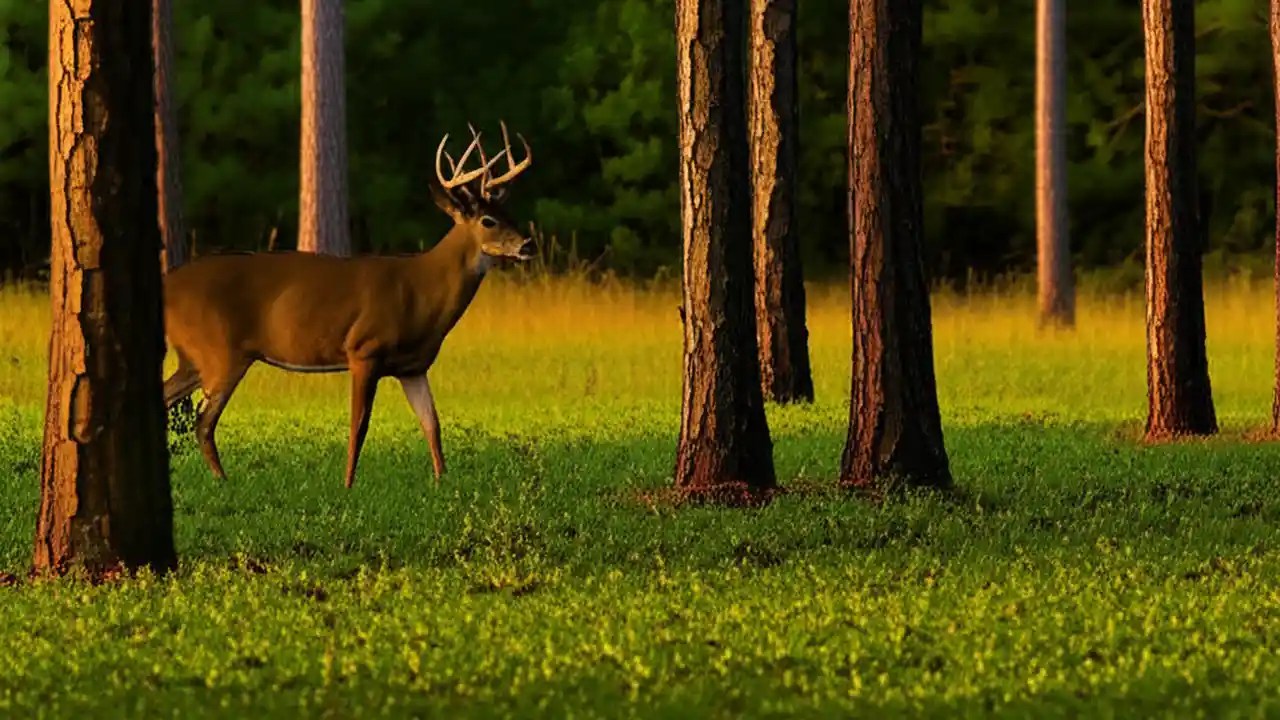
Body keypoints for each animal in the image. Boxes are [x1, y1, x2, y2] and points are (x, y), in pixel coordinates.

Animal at [161, 122, 535, 489]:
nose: (528, 245)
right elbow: (359, 425)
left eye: (509, 213)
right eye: (488, 220)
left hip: (194, 357)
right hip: (221, 351)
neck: (423, 292)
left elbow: (432, 424)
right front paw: (348, 485)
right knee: (203, 421)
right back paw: (224, 481)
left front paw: (442, 482)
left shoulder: (413, 367)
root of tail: (168, 283)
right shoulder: (364, 349)